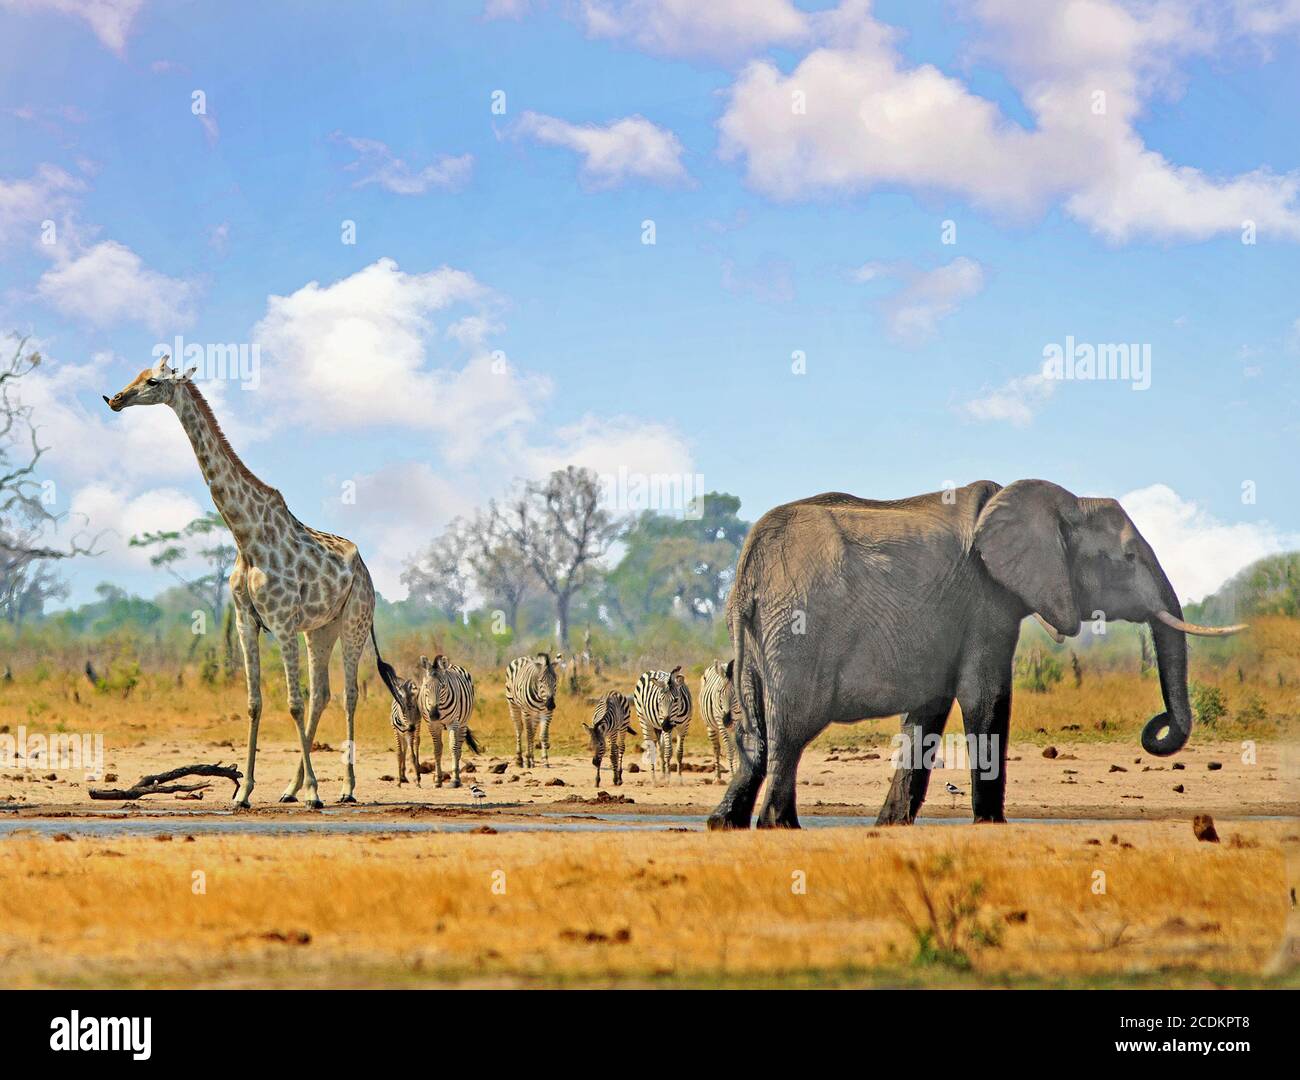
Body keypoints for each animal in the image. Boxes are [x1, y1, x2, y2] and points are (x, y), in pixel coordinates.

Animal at [104, 358, 402, 808]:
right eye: (137, 375)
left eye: (153, 381)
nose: (115, 399)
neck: (246, 536)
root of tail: (364, 566)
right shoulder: (247, 622)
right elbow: (254, 702)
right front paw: (243, 791)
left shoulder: (281, 622)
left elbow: (292, 703)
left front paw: (315, 793)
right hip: (321, 628)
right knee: (322, 695)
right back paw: (291, 788)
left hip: (355, 620)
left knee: (347, 694)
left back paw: (345, 788)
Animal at [417, 654, 481, 788]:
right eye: (426, 686)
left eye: (443, 686)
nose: (434, 714)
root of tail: (451, 665)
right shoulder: (432, 725)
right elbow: (437, 749)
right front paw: (438, 780)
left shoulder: (453, 723)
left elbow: (453, 747)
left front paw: (455, 780)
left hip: (462, 724)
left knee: (458, 748)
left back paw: (458, 778)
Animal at [706, 479, 1245, 830]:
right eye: (1129, 558)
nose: (1155, 727)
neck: (1059, 502)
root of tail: (748, 567)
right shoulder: (988, 600)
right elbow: (986, 699)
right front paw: (991, 824)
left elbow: (927, 712)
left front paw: (891, 826)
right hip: (800, 629)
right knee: (791, 730)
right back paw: (778, 826)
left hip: (758, 633)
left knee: (756, 734)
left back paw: (722, 824)